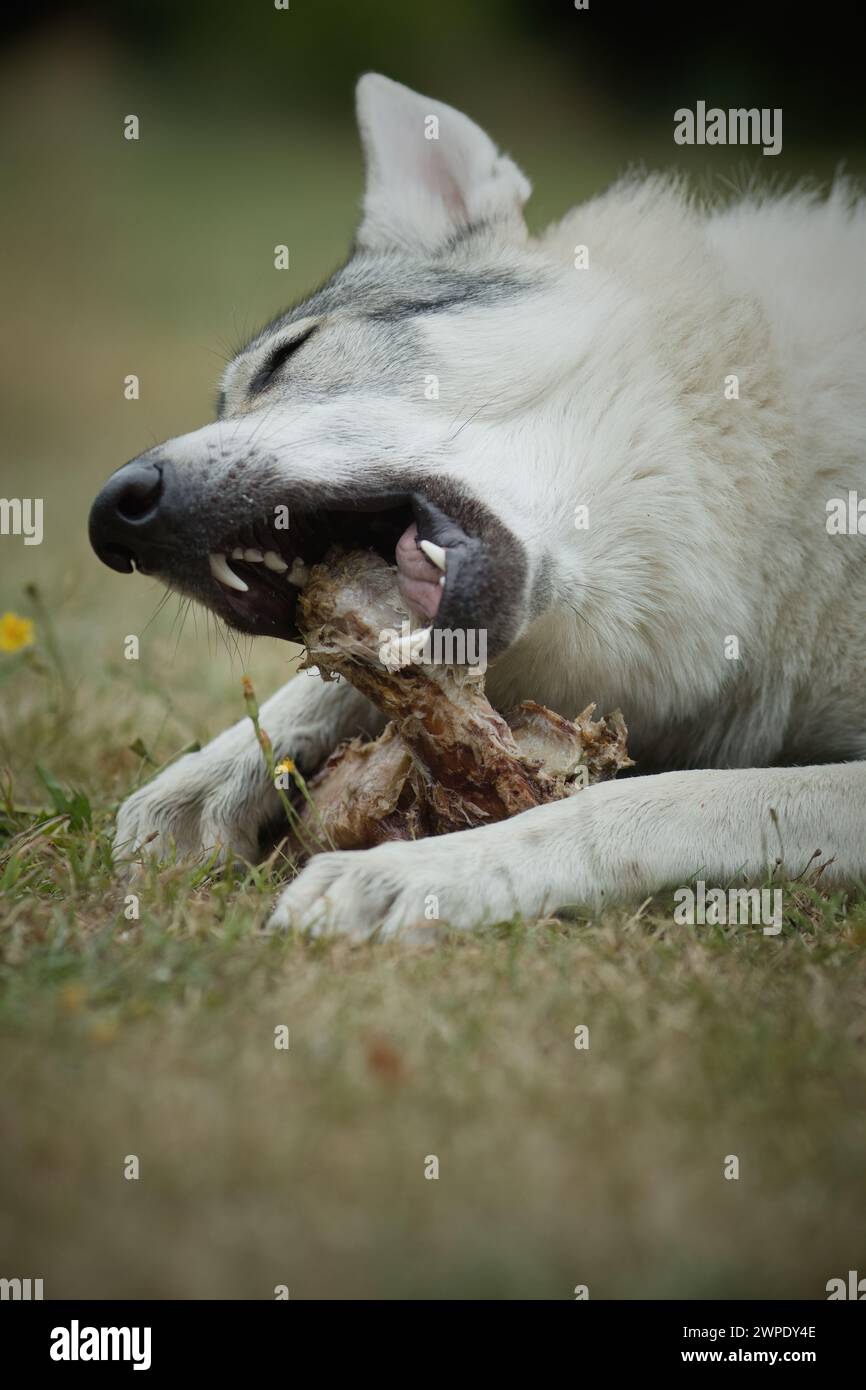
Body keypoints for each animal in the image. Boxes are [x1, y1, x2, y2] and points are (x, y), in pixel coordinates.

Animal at [88, 74, 866, 937]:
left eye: (288, 356)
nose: (112, 515)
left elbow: (652, 803)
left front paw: (427, 873)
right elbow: (327, 690)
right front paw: (202, 783)